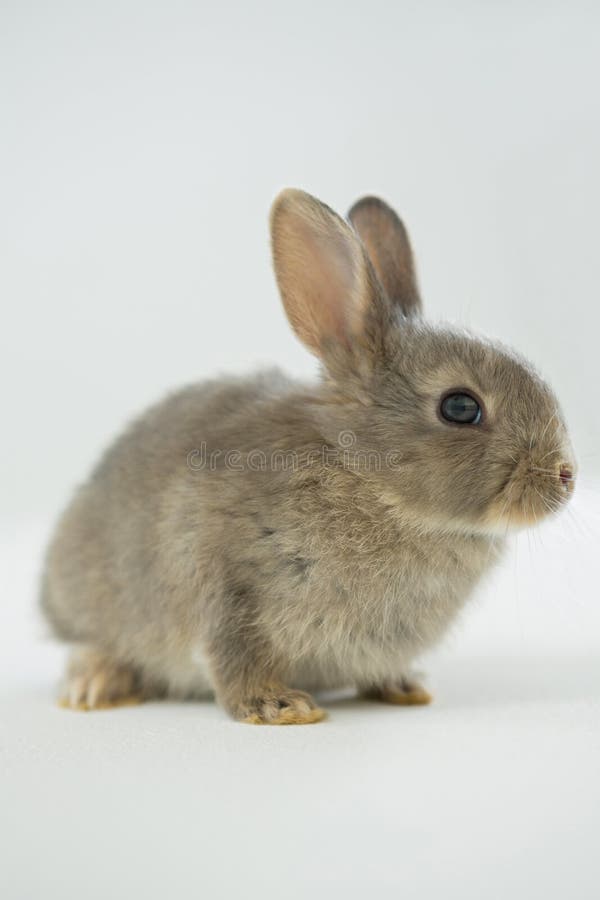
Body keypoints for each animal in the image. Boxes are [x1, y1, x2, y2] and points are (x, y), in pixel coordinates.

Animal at [41, 188, 576, 724]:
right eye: (460, 407)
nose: (565, 476)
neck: (366, 478)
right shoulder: (221, 582)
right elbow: (233, 658)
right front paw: (278, 707)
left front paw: (404, 687)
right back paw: (96, 685)